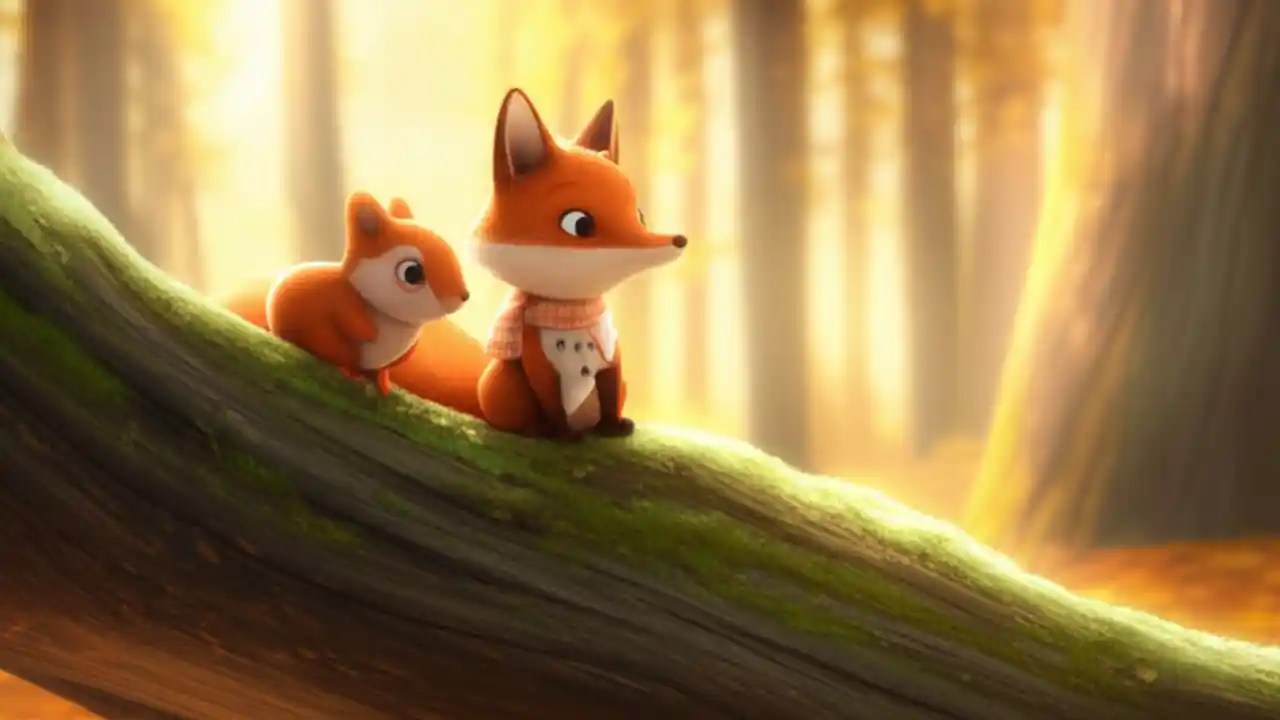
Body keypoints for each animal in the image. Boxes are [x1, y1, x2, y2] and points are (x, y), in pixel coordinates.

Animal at [234, 192, 471, 396]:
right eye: (411, 273)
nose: (464, 296)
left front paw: (383, 379)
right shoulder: (339, 301)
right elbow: (346, 317)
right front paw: (368, 333)